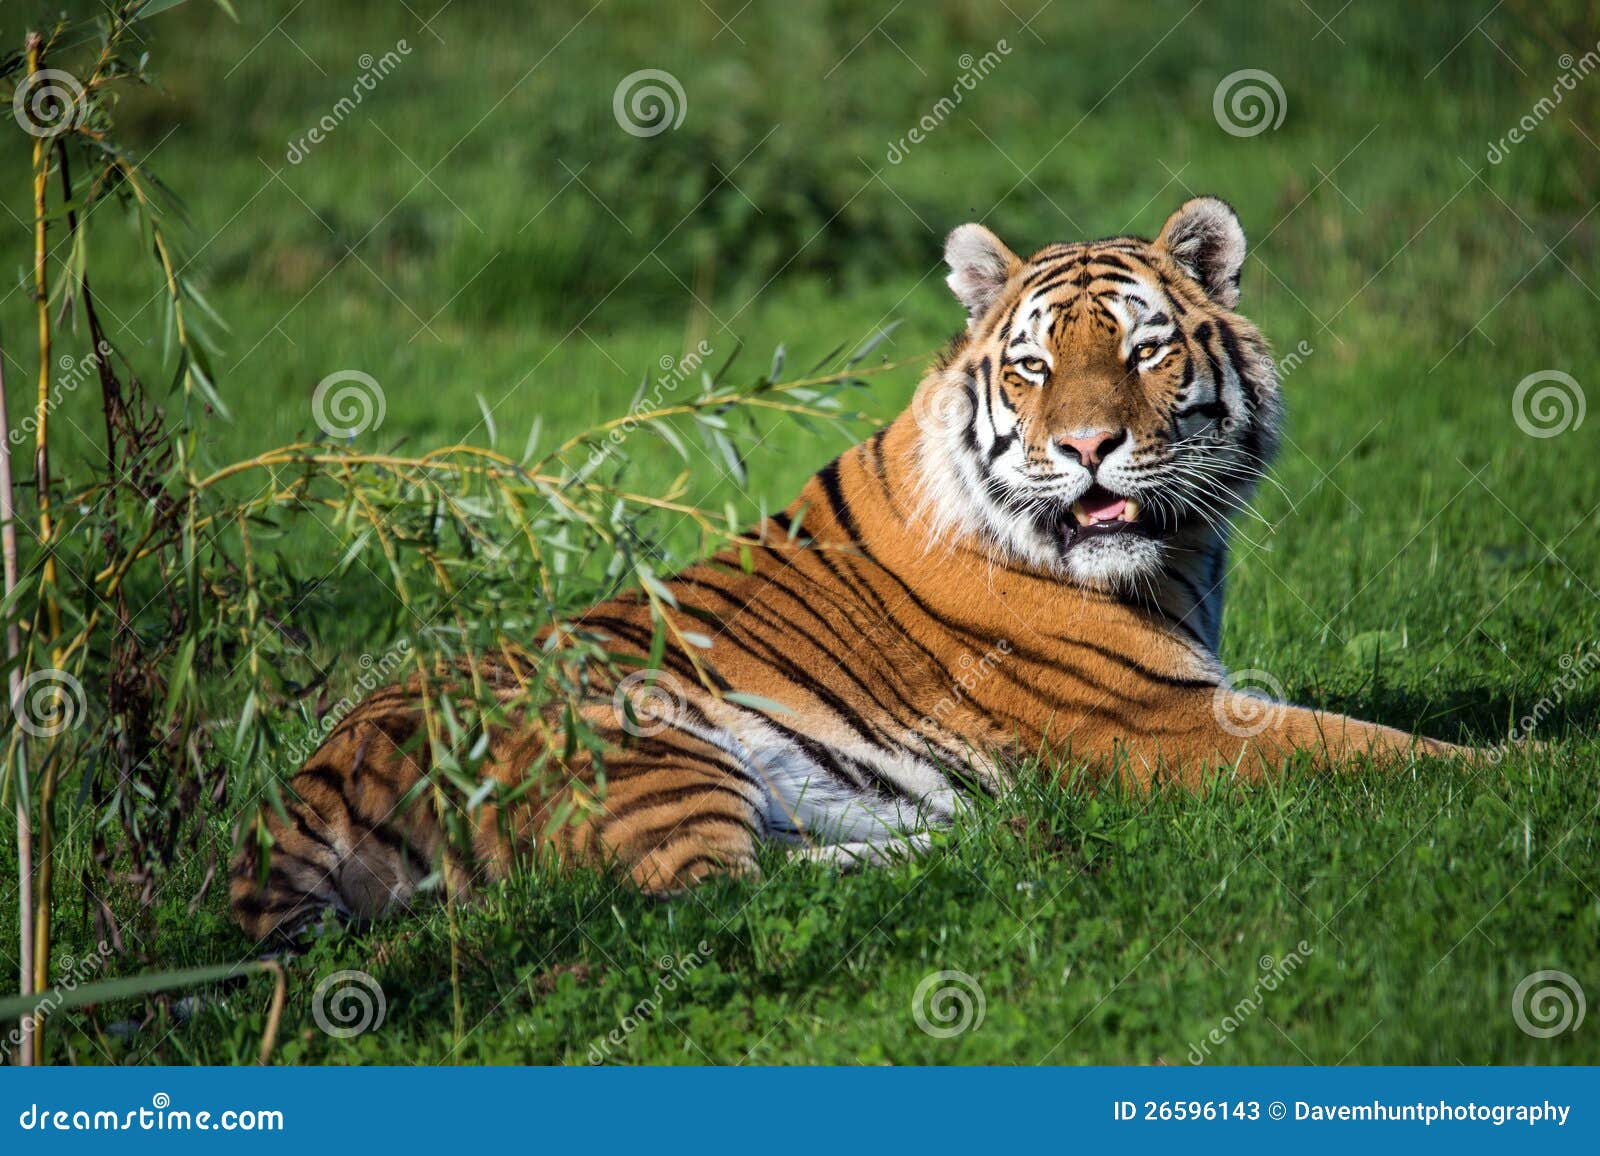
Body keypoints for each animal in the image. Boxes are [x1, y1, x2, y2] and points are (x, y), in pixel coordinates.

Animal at [231, 197, 1469, 941]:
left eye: (1144, 348)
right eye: (1032, 367)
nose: (1085, 447)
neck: (1171, 551)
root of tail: (304, 784)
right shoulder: (1161, 721)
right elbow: (1386, 752)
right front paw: (1510, 773)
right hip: (647, 741)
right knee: (710, 892)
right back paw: (990, 849)